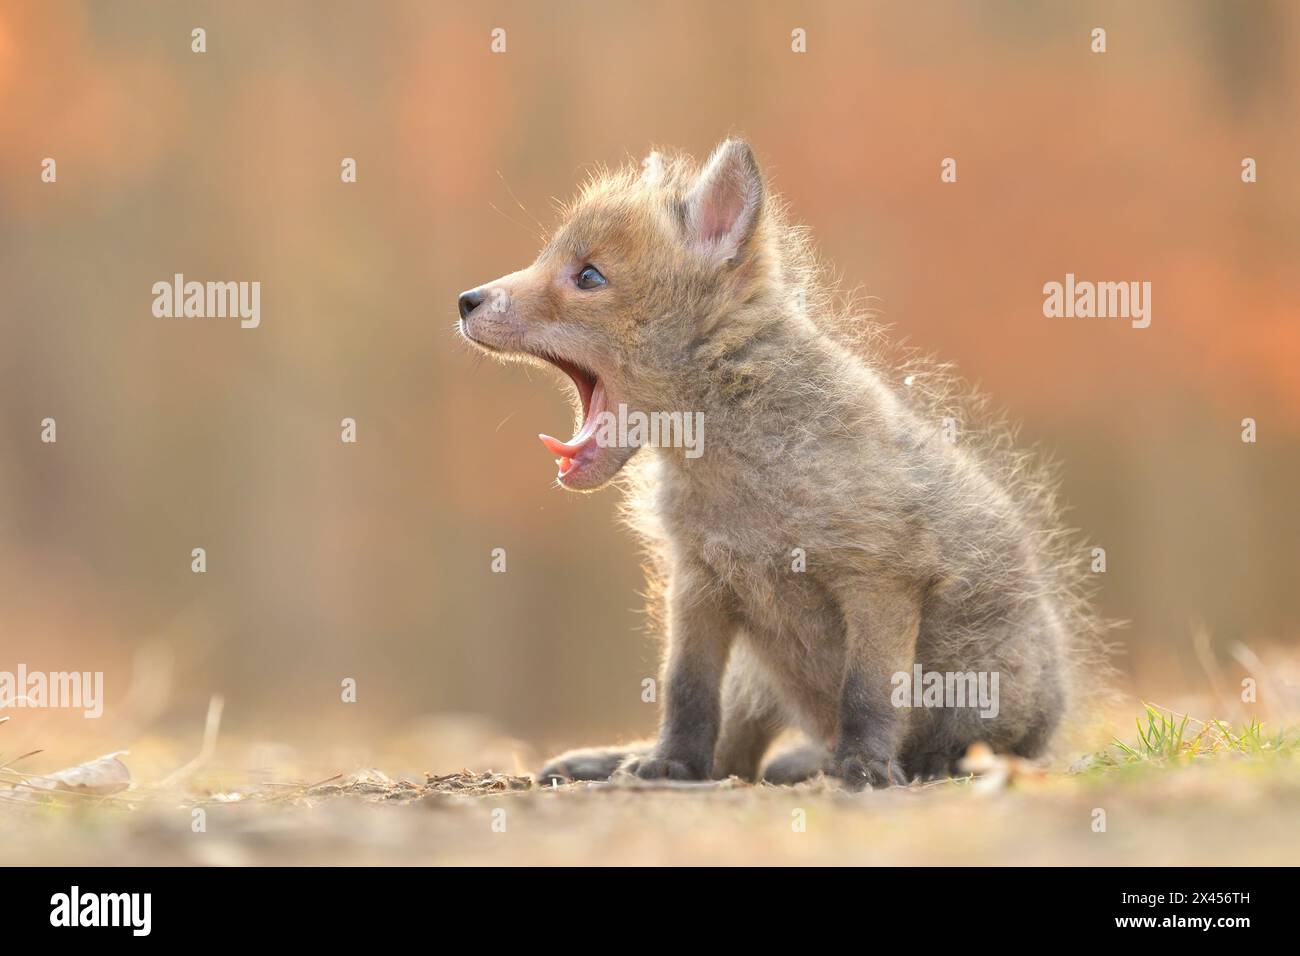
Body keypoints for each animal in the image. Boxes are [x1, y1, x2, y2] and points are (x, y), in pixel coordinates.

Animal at [457, 138, 1110, 788]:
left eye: (588, 276)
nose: (466, 300)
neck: (728, 477)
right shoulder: (698, 582)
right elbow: (685, 691)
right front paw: (671, 762)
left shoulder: (881, 577)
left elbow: (870, 692)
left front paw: (867, 766)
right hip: (757, 677)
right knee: (735, 754)